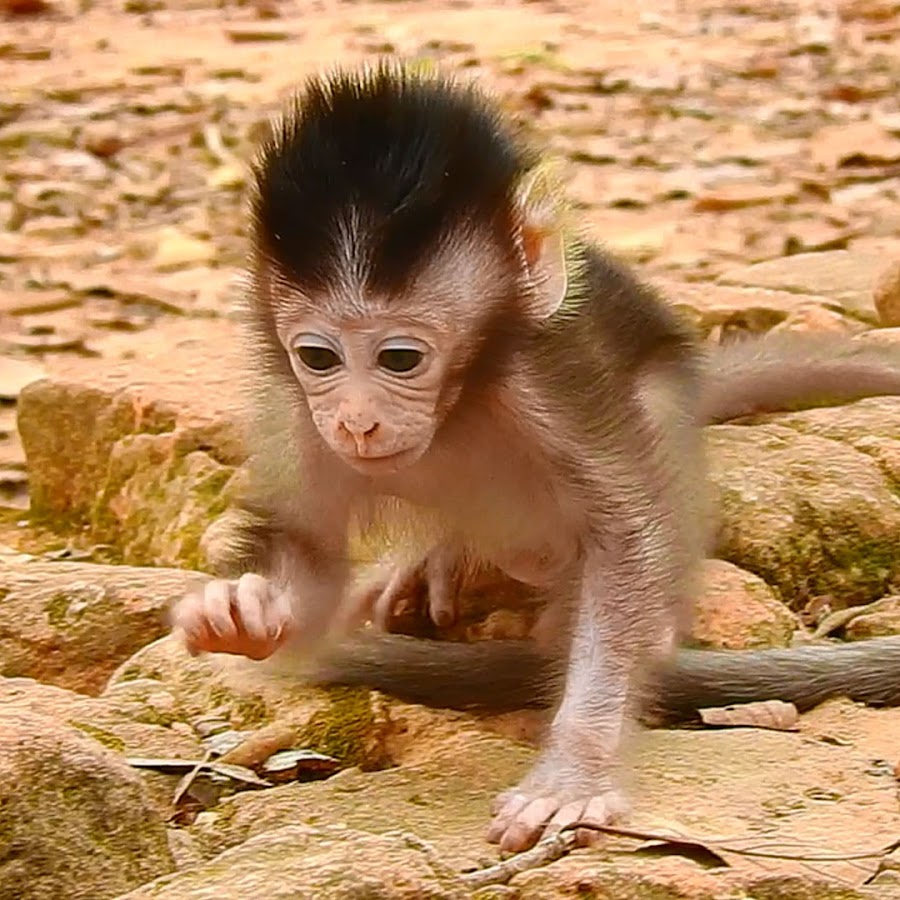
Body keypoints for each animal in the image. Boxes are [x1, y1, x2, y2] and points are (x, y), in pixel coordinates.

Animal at [170, 61, 900, 855]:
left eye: (400, 359)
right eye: (319, 357)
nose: (358, 422)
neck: (458, 400)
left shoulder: (544, 380)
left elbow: (624, 537)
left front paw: (575, 772)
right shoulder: (296, 411)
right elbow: (309, 550)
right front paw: (245, 610)